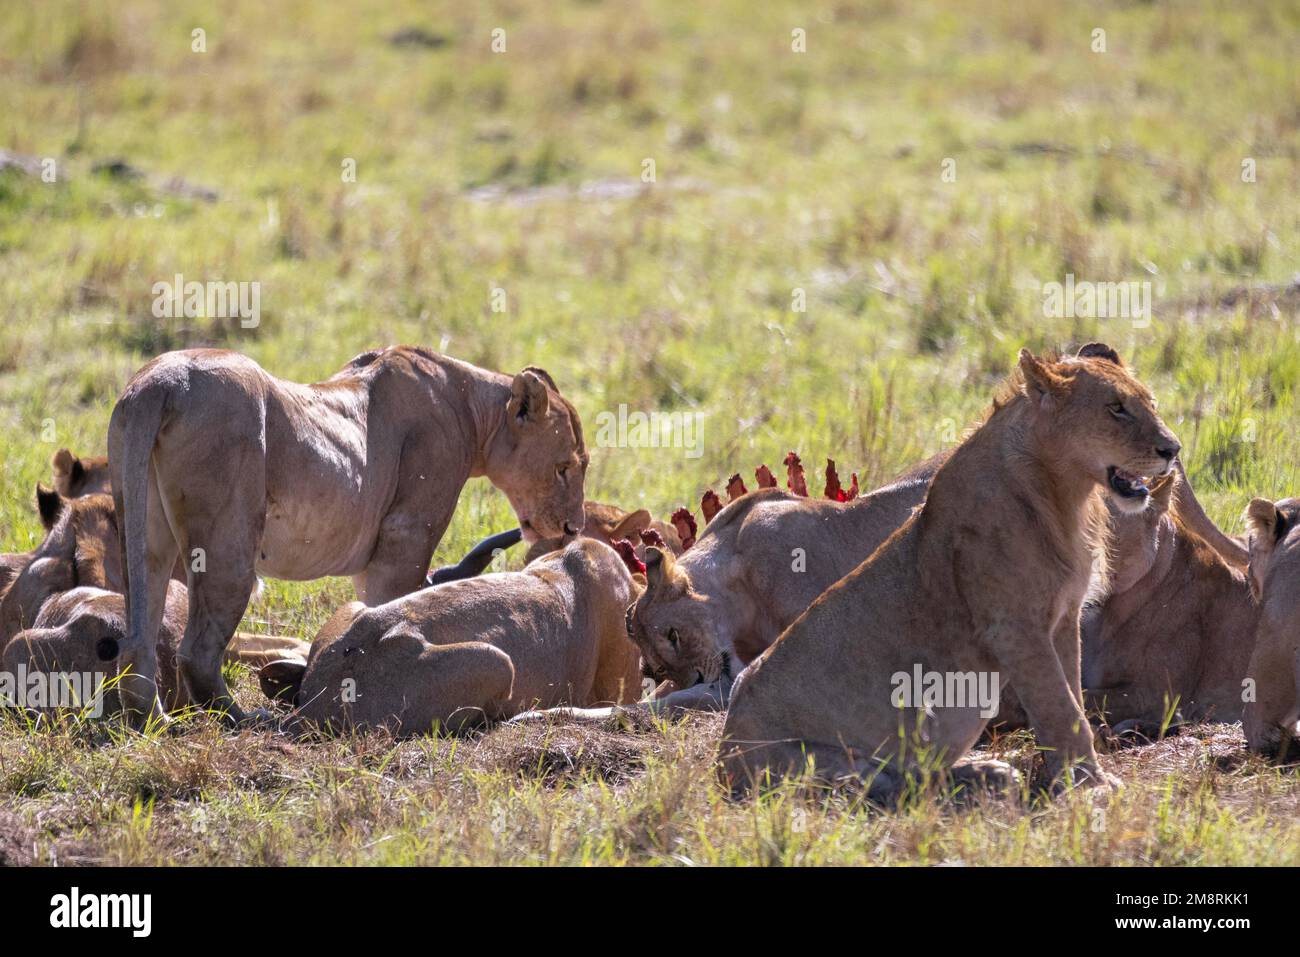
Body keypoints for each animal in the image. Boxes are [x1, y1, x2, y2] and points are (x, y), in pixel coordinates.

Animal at [108, 346, 589, 724]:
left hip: (143, 531)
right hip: (228, 542)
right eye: (565, 467)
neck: (472, 408)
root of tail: (160, 381)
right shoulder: (403, 540)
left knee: (138, 640)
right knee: (198, 650)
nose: (573, 528)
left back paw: (155, 722)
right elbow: (396, 605)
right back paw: (245, 719)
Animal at [717, 344, 1180, 798]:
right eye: (1116, 408)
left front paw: (1075, 775)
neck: (1065, 495)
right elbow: (1061, 707)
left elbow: (1072, 698)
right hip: (822, 763)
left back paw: (990, 771)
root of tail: (722, 758)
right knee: (893, 784)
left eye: (1150, 404)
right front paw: (1090, 785)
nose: (1173, 449)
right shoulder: (1014, 628)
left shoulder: (1063, 619)